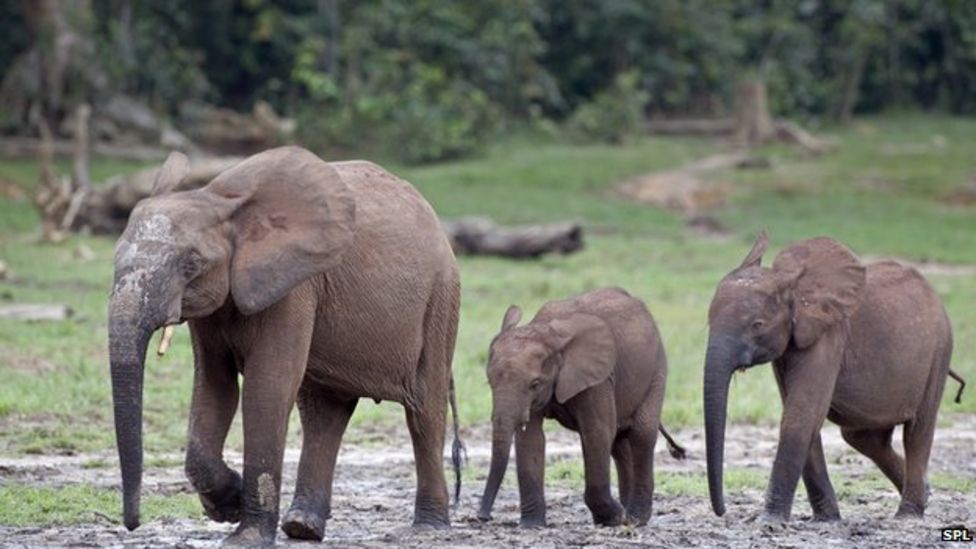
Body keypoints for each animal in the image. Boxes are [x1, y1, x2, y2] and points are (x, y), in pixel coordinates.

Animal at [108, 147, 461, 546]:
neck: (220, 201)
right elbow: (215, 386)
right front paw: (228, 505)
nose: (133, 524)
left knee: (425, 411)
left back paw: (428, 526)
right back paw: (302, 527)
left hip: (440, 298)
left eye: (191, 263)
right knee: (323, 413)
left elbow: (267, 386)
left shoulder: (294, 286)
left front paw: (244, 537)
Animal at [477, 287, 683, 527]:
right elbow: (531, 438)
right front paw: (531, 525)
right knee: (619, 442)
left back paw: (634, 518)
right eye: (489, 381)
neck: (548, 333)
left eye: (534, 384)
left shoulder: (598, 378)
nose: (482, 517)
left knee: (642, 433)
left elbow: (596, 431)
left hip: (656, 369)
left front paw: (613, 517)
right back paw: (627, 513)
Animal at [703, 231, 954, 522]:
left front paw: (770, 521)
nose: (723, 512)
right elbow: (803, 414)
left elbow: (801, 413)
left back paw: (908, 514)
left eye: (757, 325)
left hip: (939, 351)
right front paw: (826, 518)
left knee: (917, 431)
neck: (793, 285)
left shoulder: (828, 335)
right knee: (864, 438)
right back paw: (927, 494)